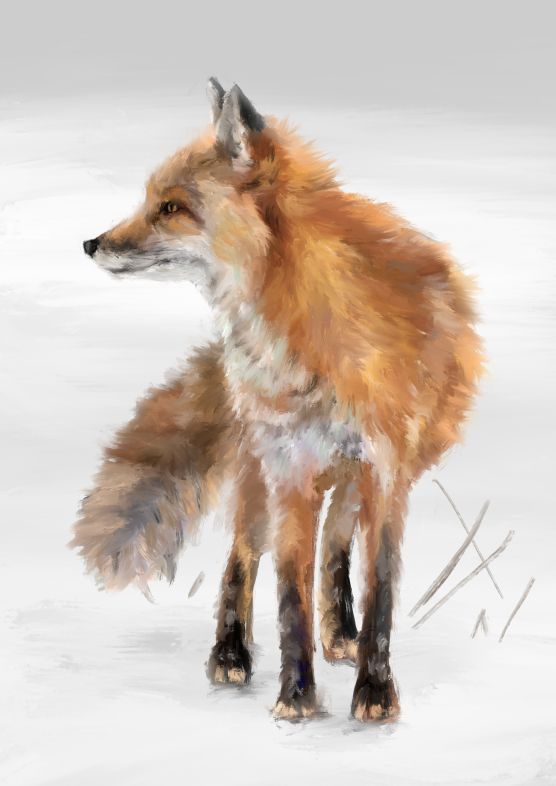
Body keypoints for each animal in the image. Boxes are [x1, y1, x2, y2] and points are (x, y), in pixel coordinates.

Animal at [71, 78, 483, 722]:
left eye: (171, 207)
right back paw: (231, 652)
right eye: (151, 202)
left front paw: (373, 690)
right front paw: (296, 696)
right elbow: (290, 596)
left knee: (337, 539)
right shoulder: (288, 466)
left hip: (366, 472)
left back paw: (342, 634)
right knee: (243, 555)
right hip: (258, 470)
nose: (91, 243)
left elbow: (380, 590)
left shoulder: (387, 470)